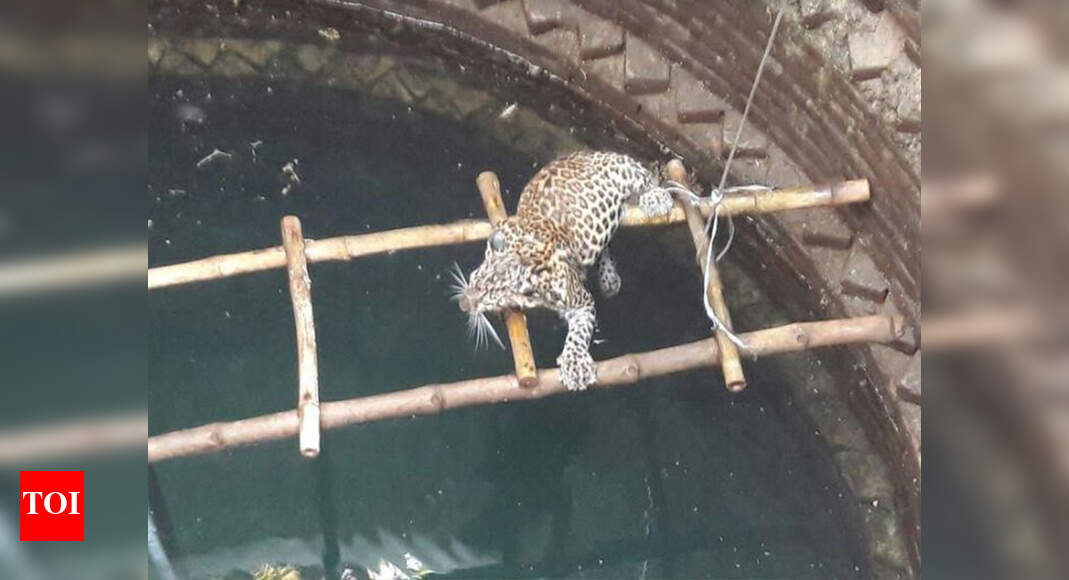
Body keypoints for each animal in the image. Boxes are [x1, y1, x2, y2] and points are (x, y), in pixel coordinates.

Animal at [456, 151, 679, 391]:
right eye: (473, 279)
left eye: (489, 296)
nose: (463, 304)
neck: (525, 253)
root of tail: (591, 152)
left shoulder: (581, 301)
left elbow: (579, 333)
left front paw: (575, 366)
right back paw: (609, 279)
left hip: (626, 170)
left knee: (647, 179)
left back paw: (656, 198)